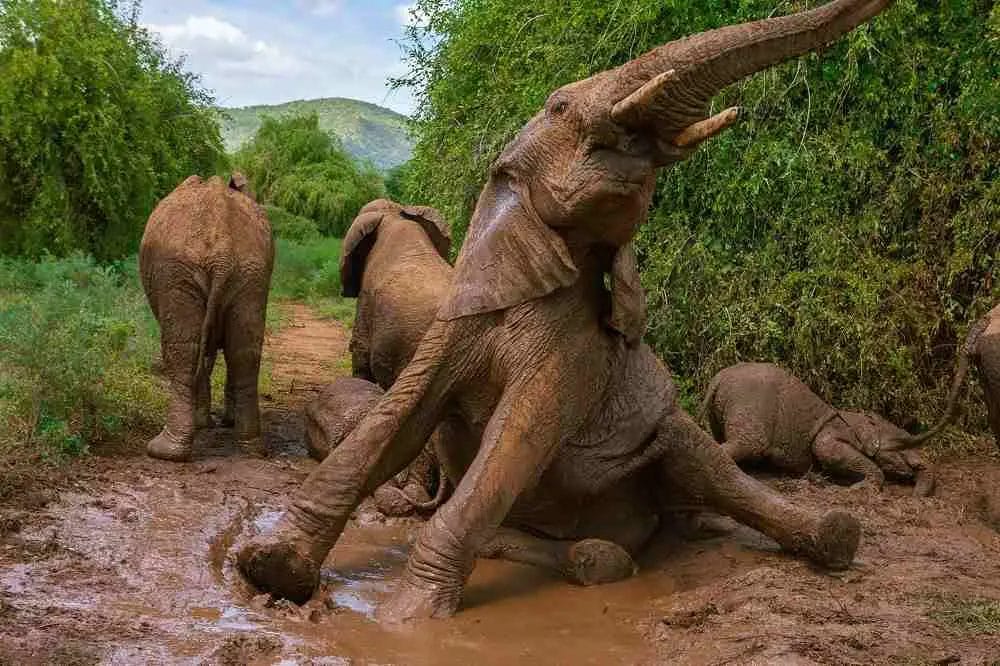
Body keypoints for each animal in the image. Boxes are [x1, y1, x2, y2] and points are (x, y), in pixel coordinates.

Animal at [139, 173, 274, 461]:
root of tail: (222, 252)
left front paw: (205, 424)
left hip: (177, 273)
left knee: (184, 350)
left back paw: (164, 451)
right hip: (251, 273)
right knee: (244, 352)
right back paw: (252, 448)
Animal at [238, 0, 896, 621]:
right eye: (557, 106)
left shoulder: (575, 358)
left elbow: (516, 439)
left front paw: (405, 619)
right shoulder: (458, 318)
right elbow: (399, 419)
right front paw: (270, 568)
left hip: (670, 433)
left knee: (714, 472)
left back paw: (832, 536)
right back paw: (595, 555)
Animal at [700, 363, 935, 496]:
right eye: (901, 447)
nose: (914, 494)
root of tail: (718, 379)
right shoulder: (831, 434)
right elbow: (826, 450)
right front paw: (856, 490)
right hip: (750, 400)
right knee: (751, 443)